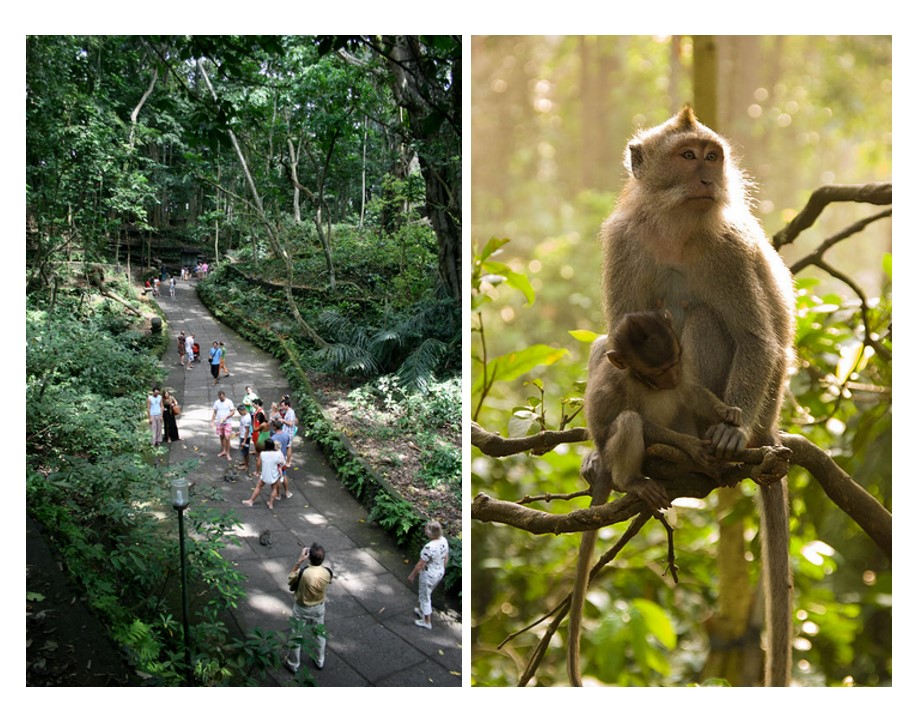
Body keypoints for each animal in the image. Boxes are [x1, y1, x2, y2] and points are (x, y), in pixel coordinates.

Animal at [568, 309, 744, 683]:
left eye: (675, 360)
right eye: (657, 371)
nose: (672, 376)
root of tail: (605, 465)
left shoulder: (685, 374)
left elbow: (692, 393)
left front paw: (728, 412)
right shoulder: (624, 384)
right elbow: (642, 422)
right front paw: (693, 446)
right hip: (614, 455)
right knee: (629, 422)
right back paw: (635, 481)